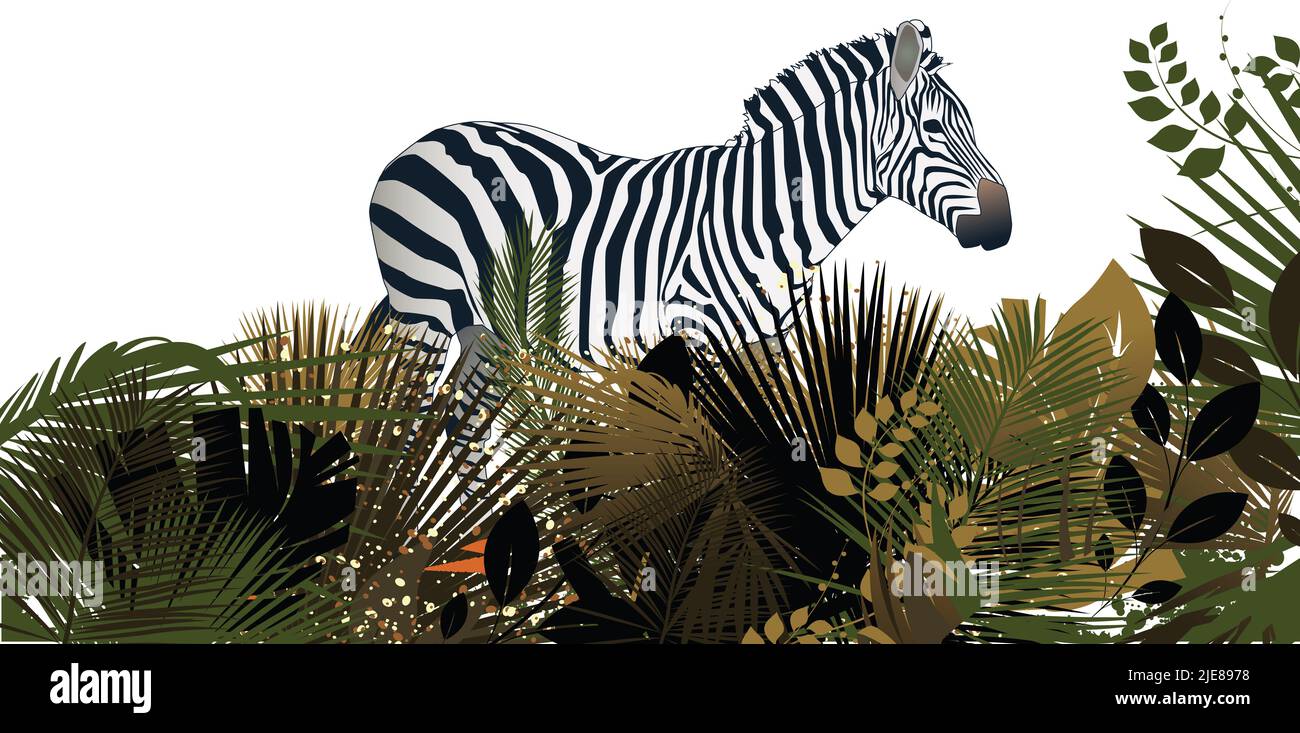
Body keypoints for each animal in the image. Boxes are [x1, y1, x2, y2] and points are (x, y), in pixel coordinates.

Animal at [368, 20, 1010, 457]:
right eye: (933, 129)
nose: (1002, 227)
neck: (769, 211)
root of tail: (422, 141)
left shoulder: (767, 338)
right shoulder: (702, 328)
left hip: (485, 331)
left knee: (456, 426)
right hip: (422, 310)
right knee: (398, 417)